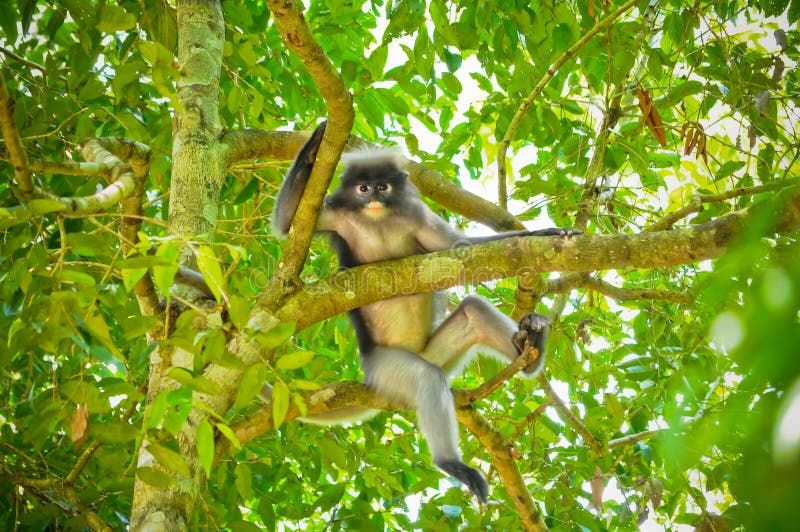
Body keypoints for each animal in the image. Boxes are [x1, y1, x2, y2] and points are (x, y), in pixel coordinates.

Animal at [273, 122, 573, 502]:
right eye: (363, 188)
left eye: (382, 186)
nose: (373, 196)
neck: (378, 221)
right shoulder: (336, 215)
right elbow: (286, 223)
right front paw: (313, 147)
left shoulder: (417, 217)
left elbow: (457, 248)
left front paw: (546, 232)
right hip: (390, 369)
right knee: (428, 377)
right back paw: (450, 462)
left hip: (436, 351)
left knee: (473, 311)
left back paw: (530, 346)